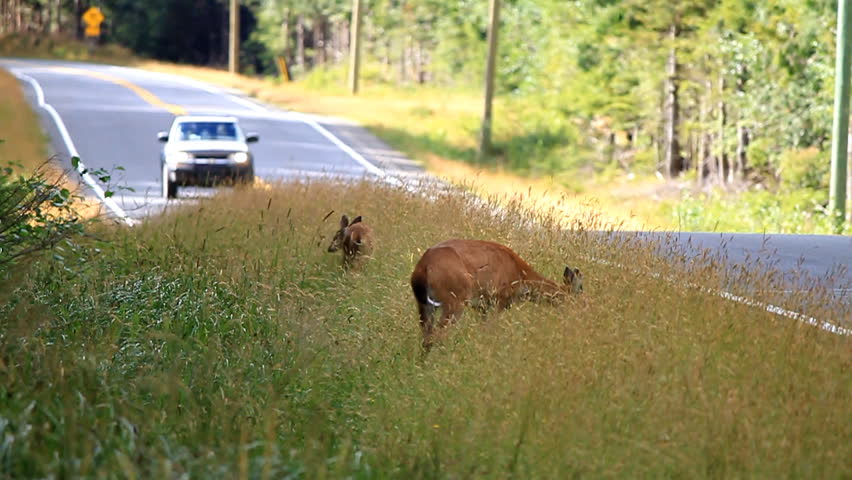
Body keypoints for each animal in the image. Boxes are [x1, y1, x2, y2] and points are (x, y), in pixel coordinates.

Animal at [410, 239, 583, 348]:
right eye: (581, 289)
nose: (582, 313)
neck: (521, 277)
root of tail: (424, 268)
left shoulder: (483, 307)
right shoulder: (498, 299)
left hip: (424, 304)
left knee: (426, 336)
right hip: (454, 300)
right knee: (438, 334)